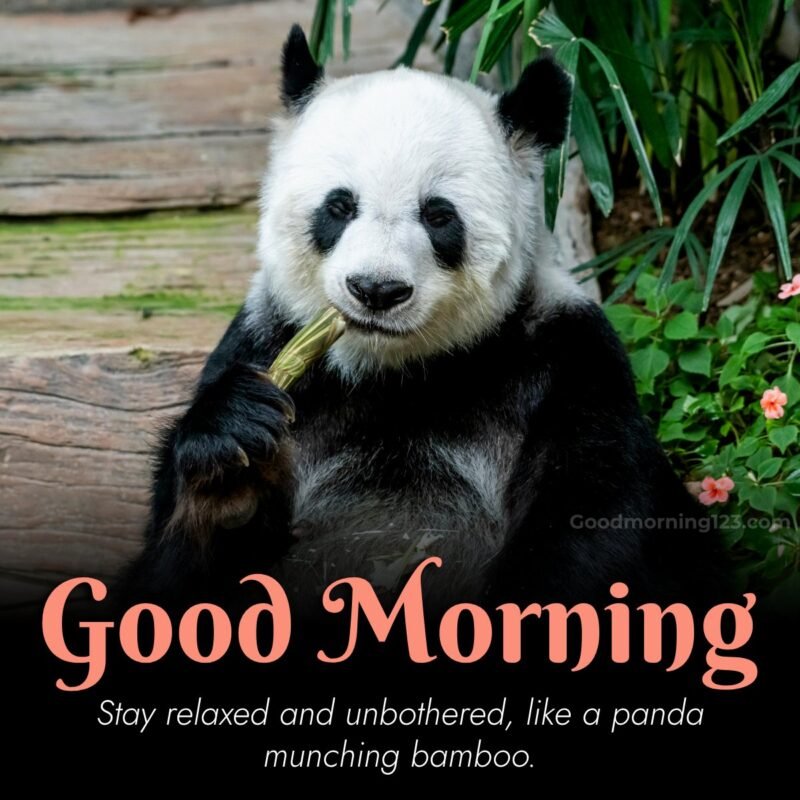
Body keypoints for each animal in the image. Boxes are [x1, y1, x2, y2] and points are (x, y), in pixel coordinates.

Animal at [128, 25, 720, 609]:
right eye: (339, 206)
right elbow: (179, 560)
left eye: (438, 216)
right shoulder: (265, 338)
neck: (394, 371)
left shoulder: (569, 359)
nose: (376, 289)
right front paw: (232, 470)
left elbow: (595, 521)